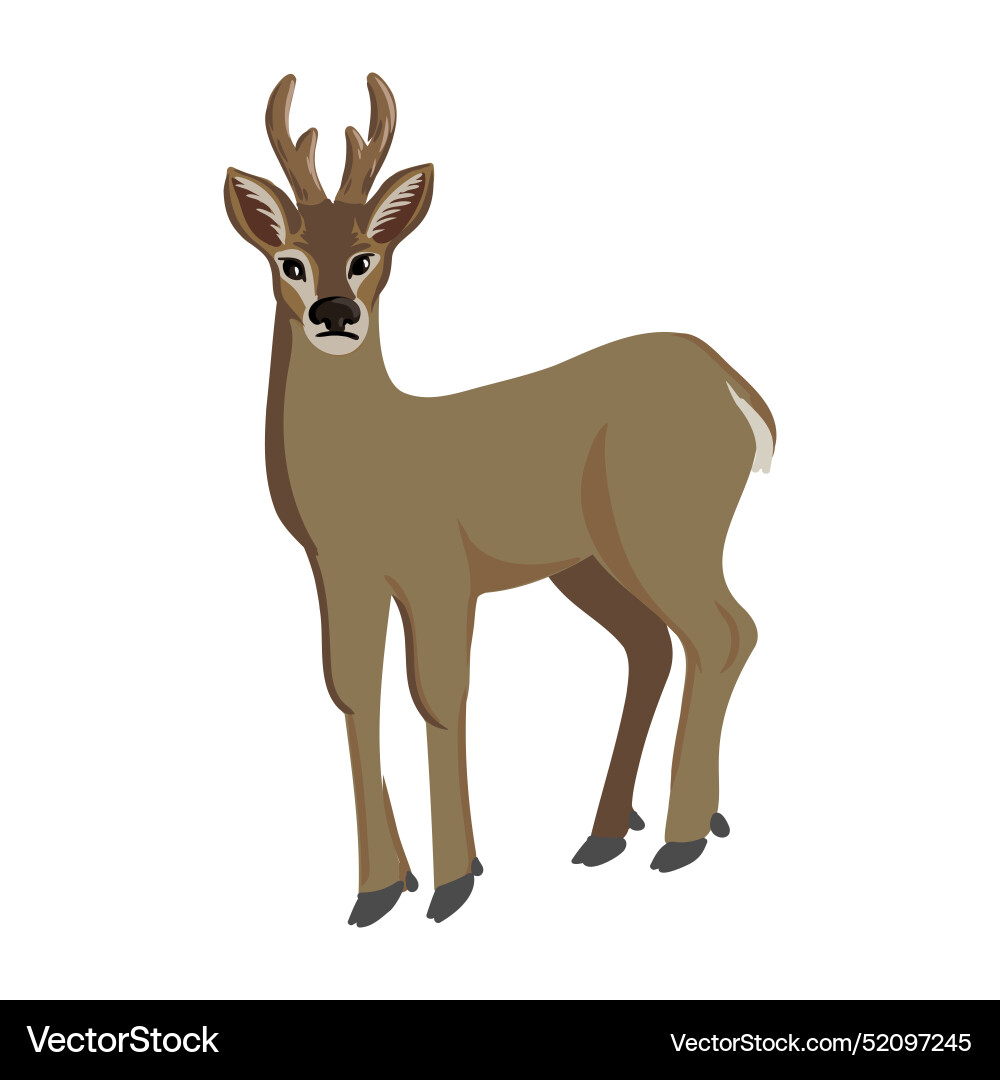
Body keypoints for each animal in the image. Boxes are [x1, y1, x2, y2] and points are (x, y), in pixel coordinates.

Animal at [224, 73, 776, 927]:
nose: (335, 315)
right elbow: (351, 693)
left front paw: (453, 881)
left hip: (663, 527)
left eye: (366, 256)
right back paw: (611, 832)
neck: (371, 459)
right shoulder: (339, 571)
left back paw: (679, 837)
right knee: (652, 646)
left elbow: (437, 696)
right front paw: (380, 888)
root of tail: (735, 390)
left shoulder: (439, 569)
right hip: (588, 561)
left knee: (724, 632)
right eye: (289, 261)